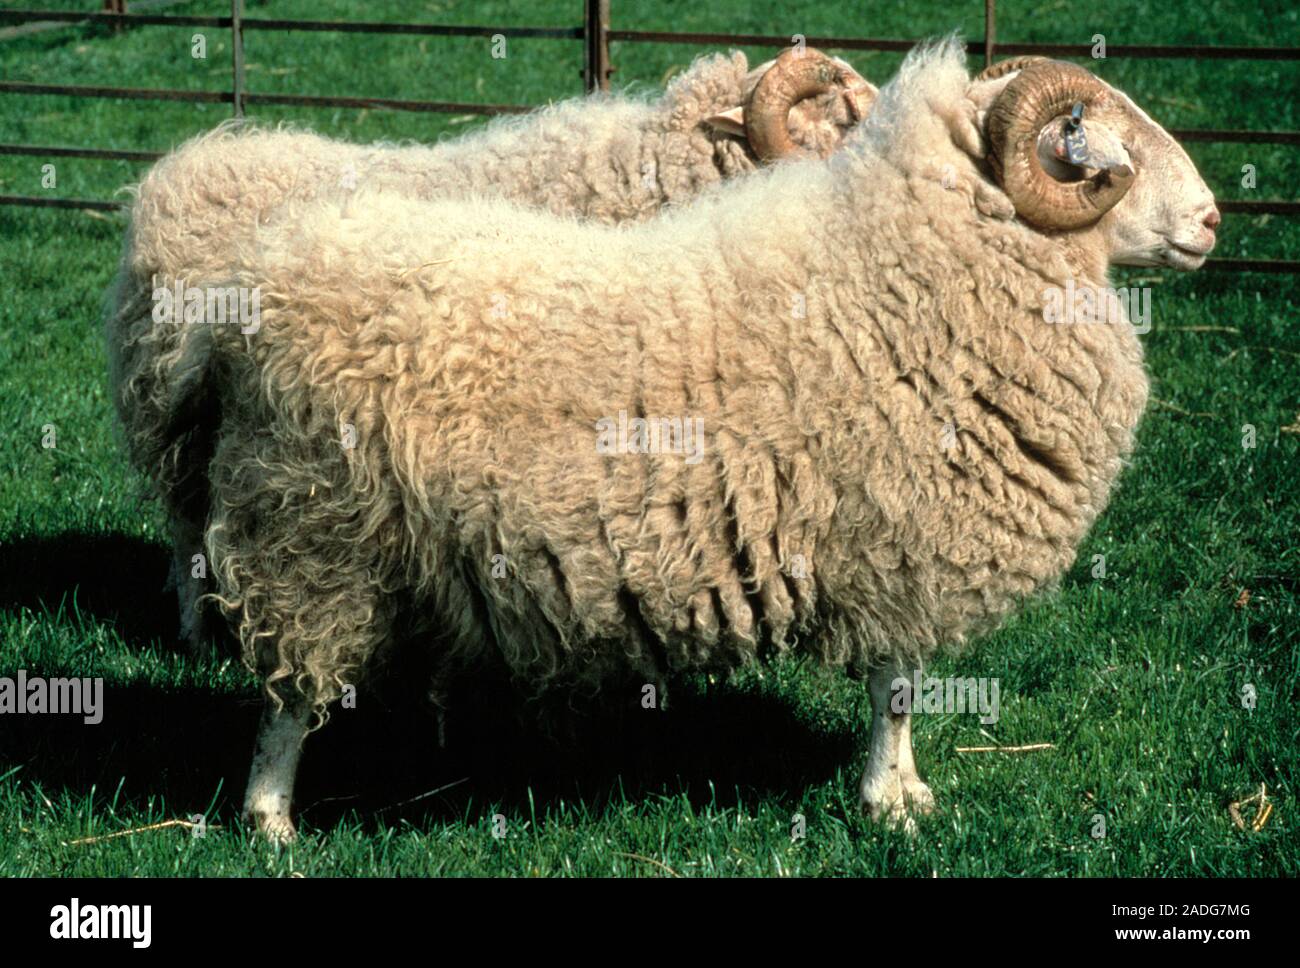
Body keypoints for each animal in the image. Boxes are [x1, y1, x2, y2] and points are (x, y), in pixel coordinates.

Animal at [105, 48, 877, 656]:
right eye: (846, 120)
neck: (653, 173)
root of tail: (174, 169)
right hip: (173, 410)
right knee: (187, 524)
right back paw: (198, 634)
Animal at [190, 39, 1218, 841]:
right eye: (1099, 140)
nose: (1212, 218)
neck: (908, 268)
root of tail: (263, 276)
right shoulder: (902, 536)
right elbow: (895, 686)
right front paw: (890, 803)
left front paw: (907, 793)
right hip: (309, 534)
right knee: (286, 695)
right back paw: (270, 820)